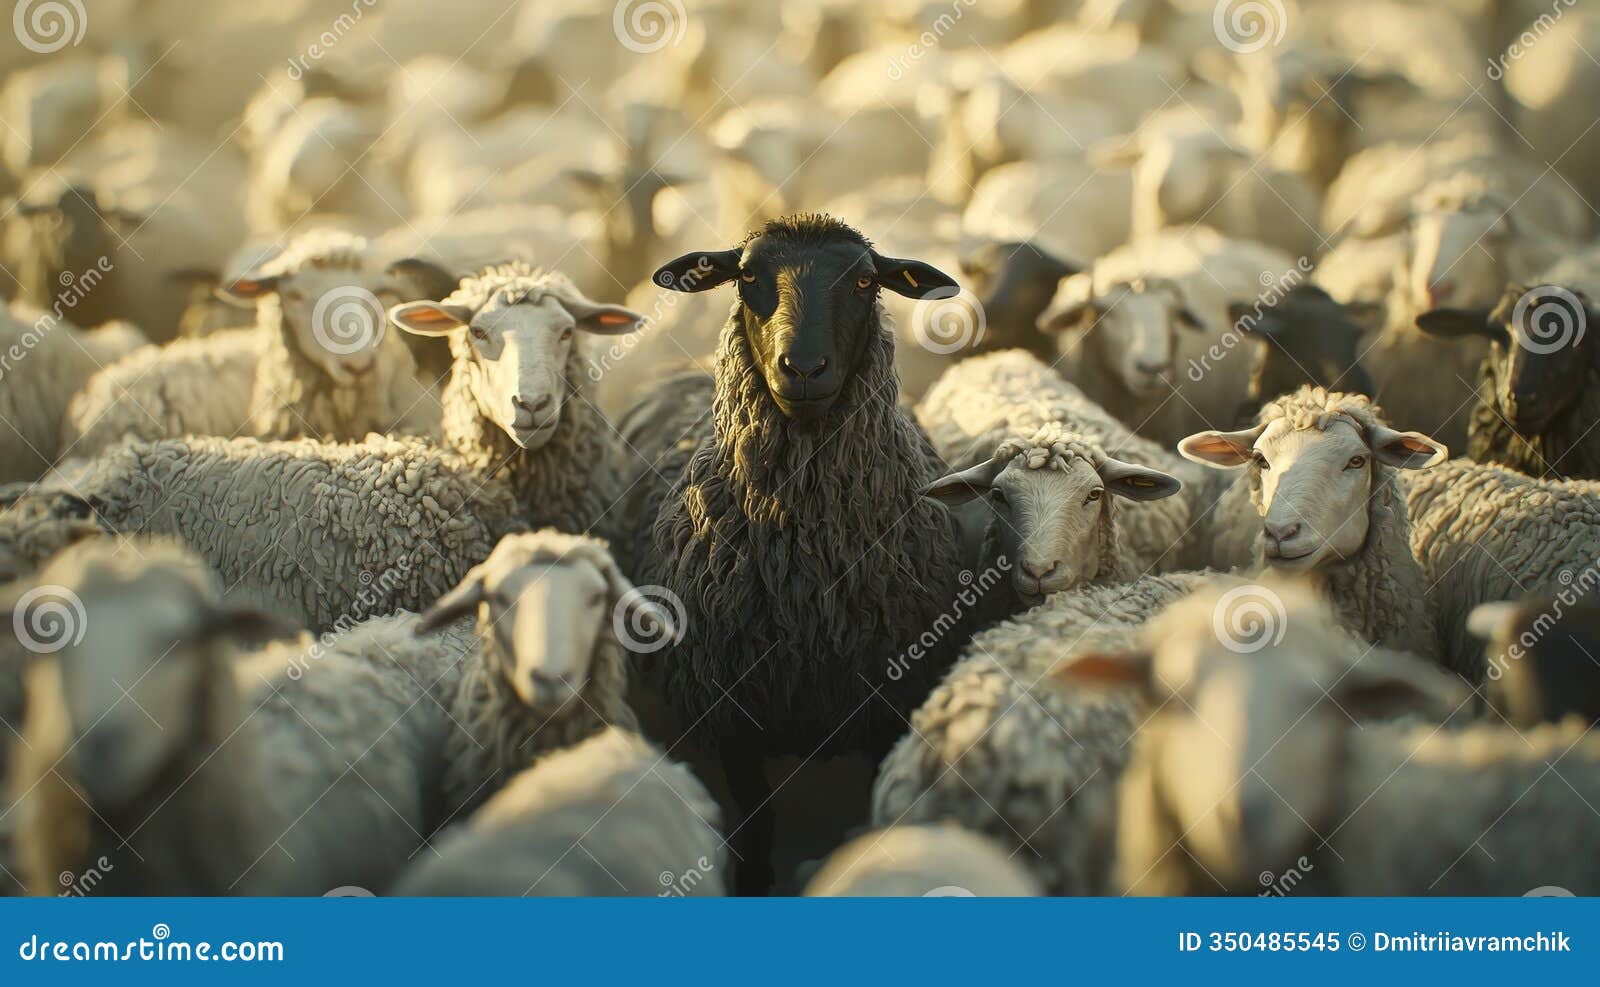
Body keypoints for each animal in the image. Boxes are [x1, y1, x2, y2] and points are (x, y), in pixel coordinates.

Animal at [638, 214, 973, 894]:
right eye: (746, 275)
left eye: (866, 281)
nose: (803, 367)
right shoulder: (732, 721)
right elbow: (757, 827)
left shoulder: (886, 708)